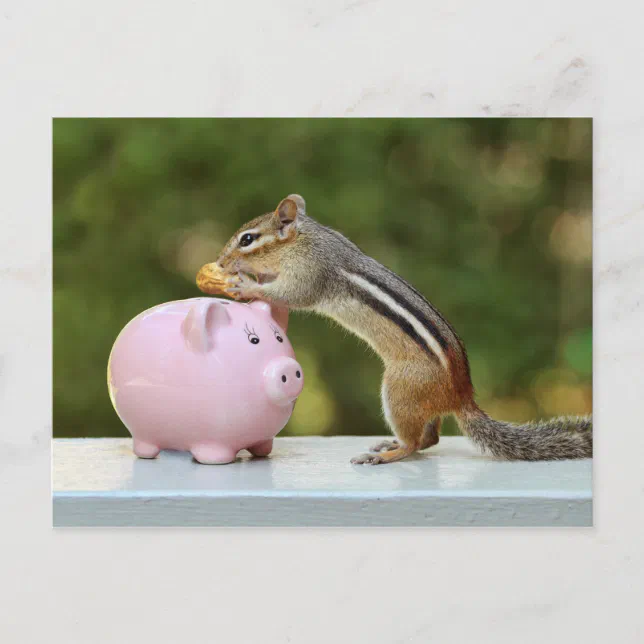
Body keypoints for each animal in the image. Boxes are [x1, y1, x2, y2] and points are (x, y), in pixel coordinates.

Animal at [213, 194, 593, 464]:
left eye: (247, 239)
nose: (220, 261)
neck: (304, 239)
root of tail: (462, 396)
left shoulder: (310, 273)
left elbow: (292, 295)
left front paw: (245, 285)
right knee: (431, 438)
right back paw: (391, 443)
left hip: (399, 391)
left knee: (415, 444)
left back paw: (387, 455)